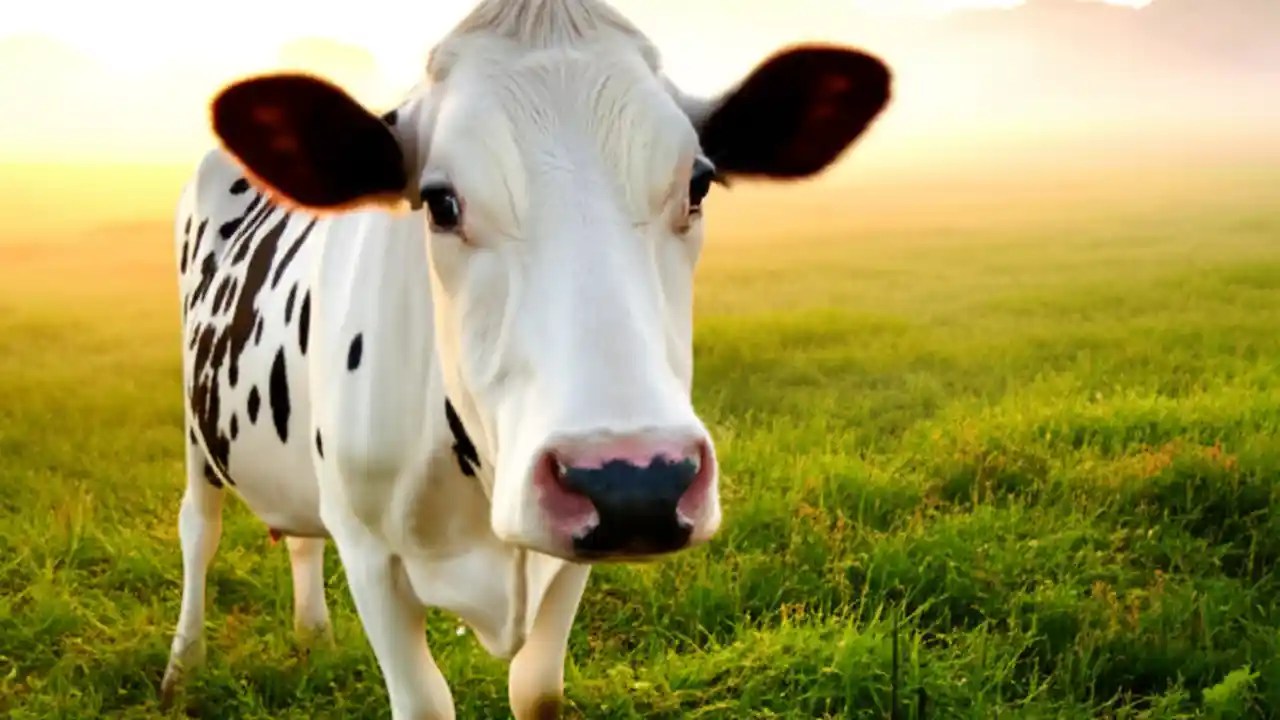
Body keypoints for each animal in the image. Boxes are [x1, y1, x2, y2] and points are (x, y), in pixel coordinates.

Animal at [162, 0, 891, 717]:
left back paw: (314, 637)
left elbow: (537, 689)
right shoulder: (367, 545)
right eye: (440, 201)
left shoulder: (571, 558)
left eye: (700, 184)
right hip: (199, 427)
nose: (637, 483)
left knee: (299, 535)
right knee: (199, 527)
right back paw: (181, 667)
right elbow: (424, 701)